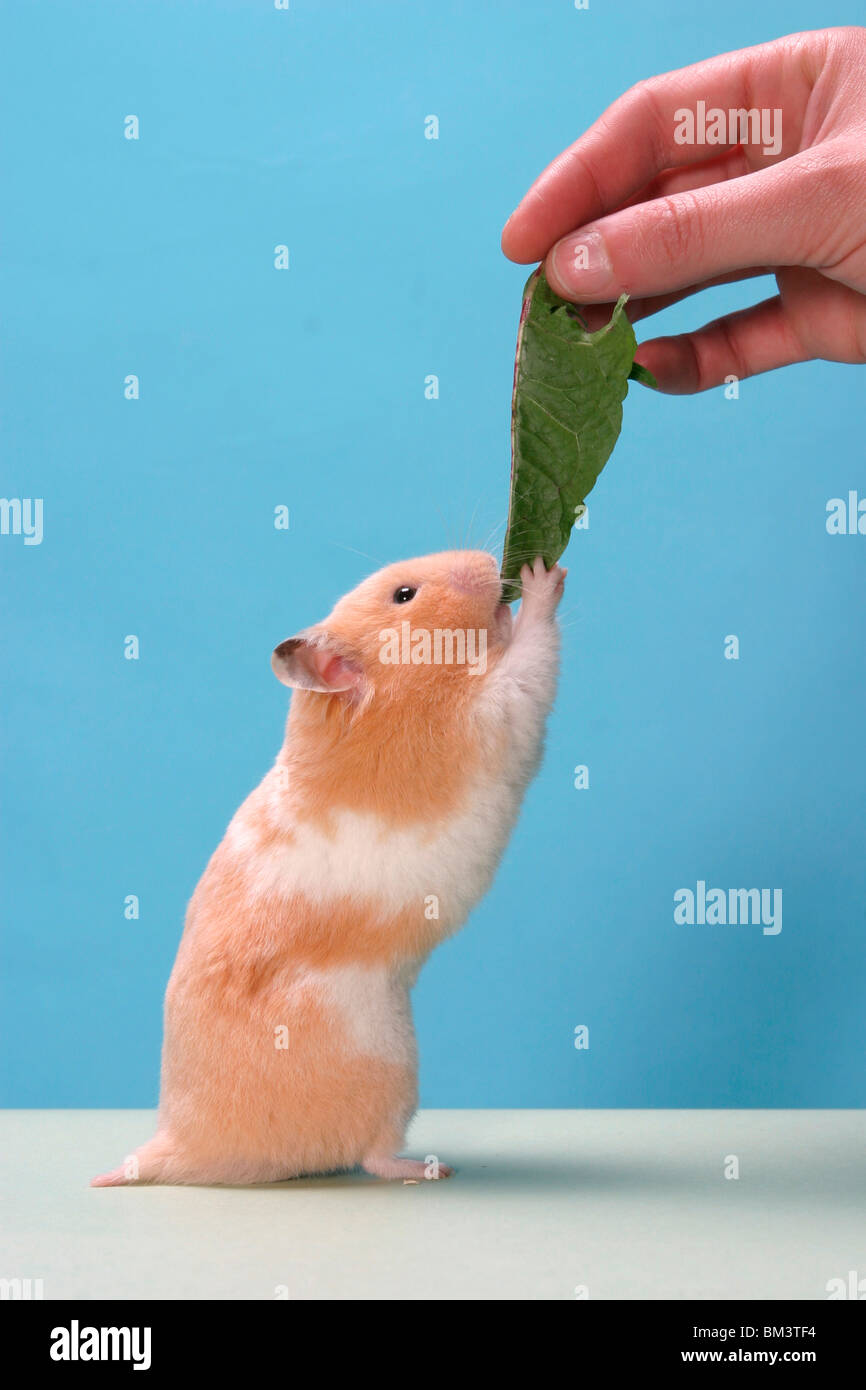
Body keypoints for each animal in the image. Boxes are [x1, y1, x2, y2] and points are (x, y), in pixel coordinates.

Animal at [92, 551, 564, 1186]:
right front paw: (540, 581)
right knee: (372, 1153)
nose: (492, 561)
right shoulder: (493, 718)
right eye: (404, 595)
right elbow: (532, 661)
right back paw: (431, 1169)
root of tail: (176, 1147)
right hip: (390, 1066)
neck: (395, 688)